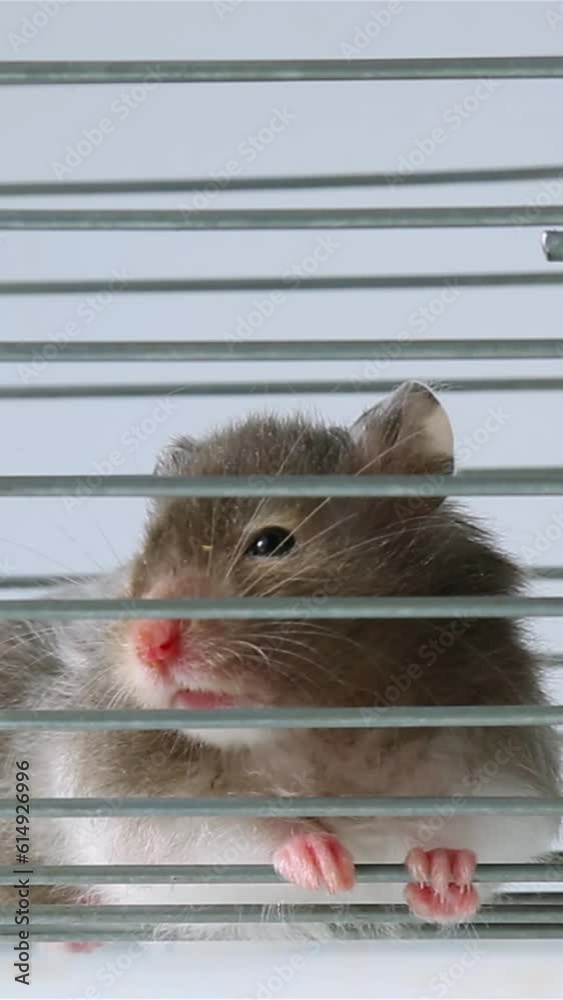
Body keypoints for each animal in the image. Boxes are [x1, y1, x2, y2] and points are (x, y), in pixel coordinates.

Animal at [0, 380, 560, 941]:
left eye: (271, 542)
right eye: (144, 556)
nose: (148, 643)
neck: (322, 732)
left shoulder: (506, 774)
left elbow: (479, 832)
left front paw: (442, 877)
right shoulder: (133, 809)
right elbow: (235, 831)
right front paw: (329, 867)